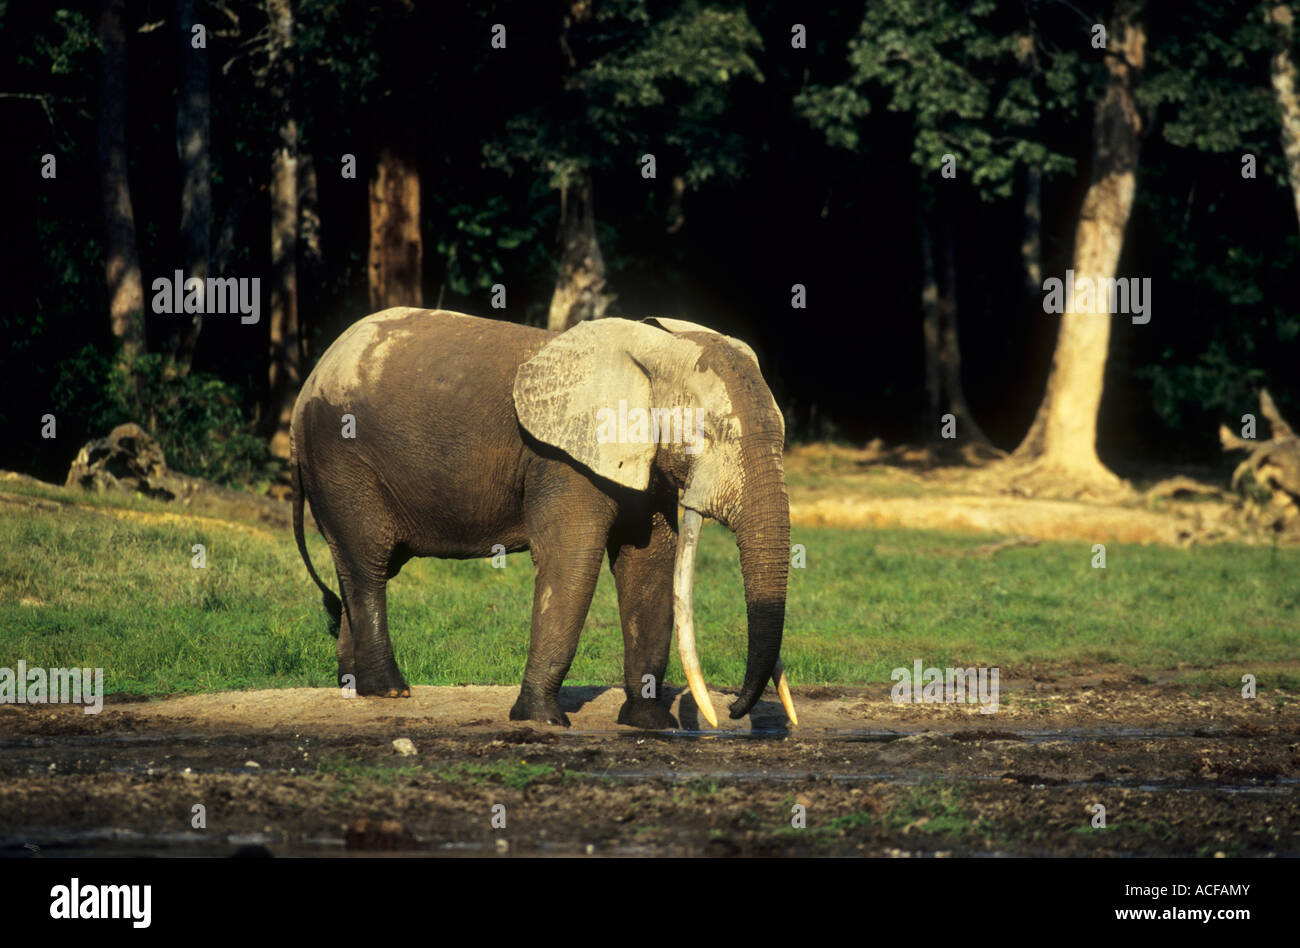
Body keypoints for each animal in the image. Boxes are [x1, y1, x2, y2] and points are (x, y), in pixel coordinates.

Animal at [290, 307, 797, 729]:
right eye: (706, 434)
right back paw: (389, 691)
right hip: (340, 455)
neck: (648, 348)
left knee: (362, 568)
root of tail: (309, 382)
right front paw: (542, 720)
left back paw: (353, 685)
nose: (732, 711)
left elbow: (648, 566)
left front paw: (652, 724)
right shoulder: (562, 460)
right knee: (368, 564)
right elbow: (571, 562)